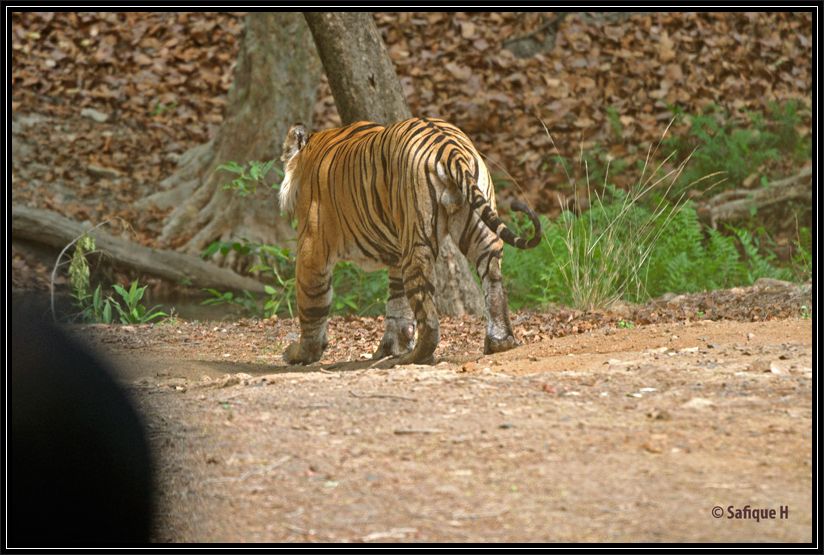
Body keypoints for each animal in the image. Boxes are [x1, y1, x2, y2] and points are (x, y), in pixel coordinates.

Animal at [279, 117, 541, 366]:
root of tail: (450, 146)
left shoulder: (312, 247)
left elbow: (311, 304)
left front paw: (302, 353)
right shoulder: (396, 251)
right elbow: (397, 302)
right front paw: (392, 346)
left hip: (418, 241)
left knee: (428, 314)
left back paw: (416, 357)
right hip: (479, 233)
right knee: (494, 283)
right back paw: (500, 342)